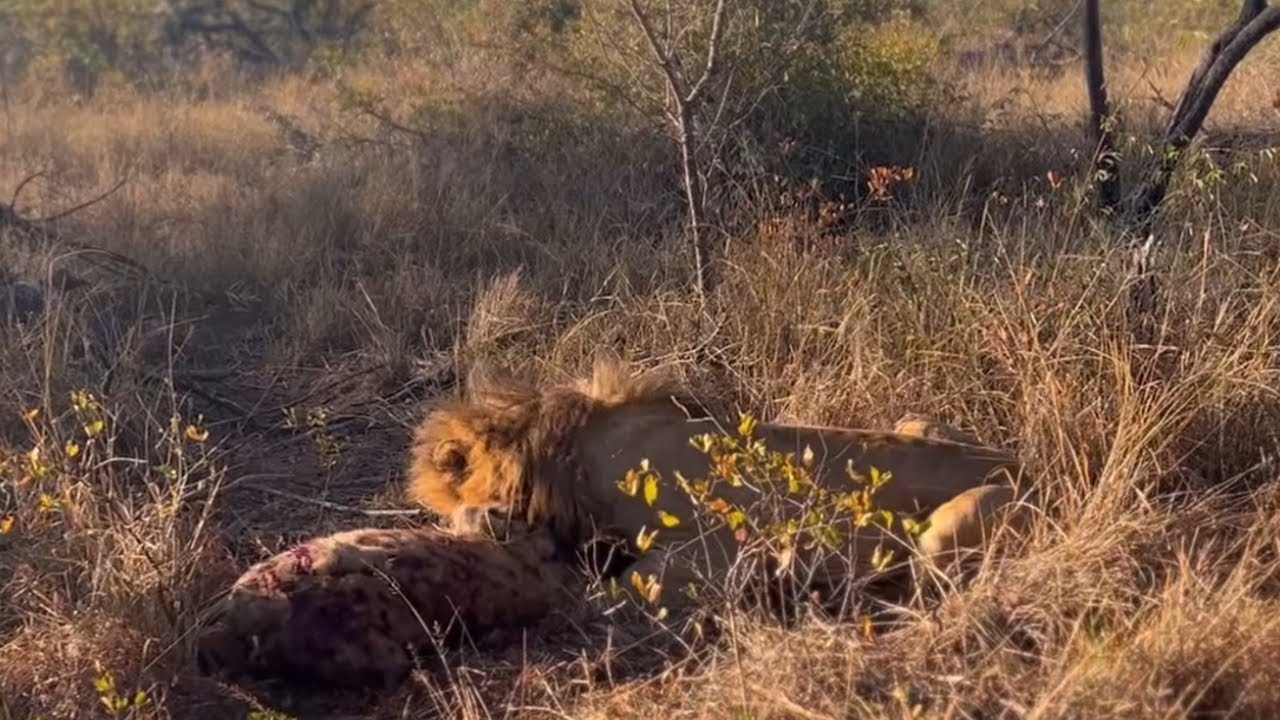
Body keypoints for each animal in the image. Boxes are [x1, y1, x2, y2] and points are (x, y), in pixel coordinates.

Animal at [405, 358, 1033, 617]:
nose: (485, 524)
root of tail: (1035, 467)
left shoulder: (713, 557)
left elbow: (618, 587)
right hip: (913, 420)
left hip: (944, 534)